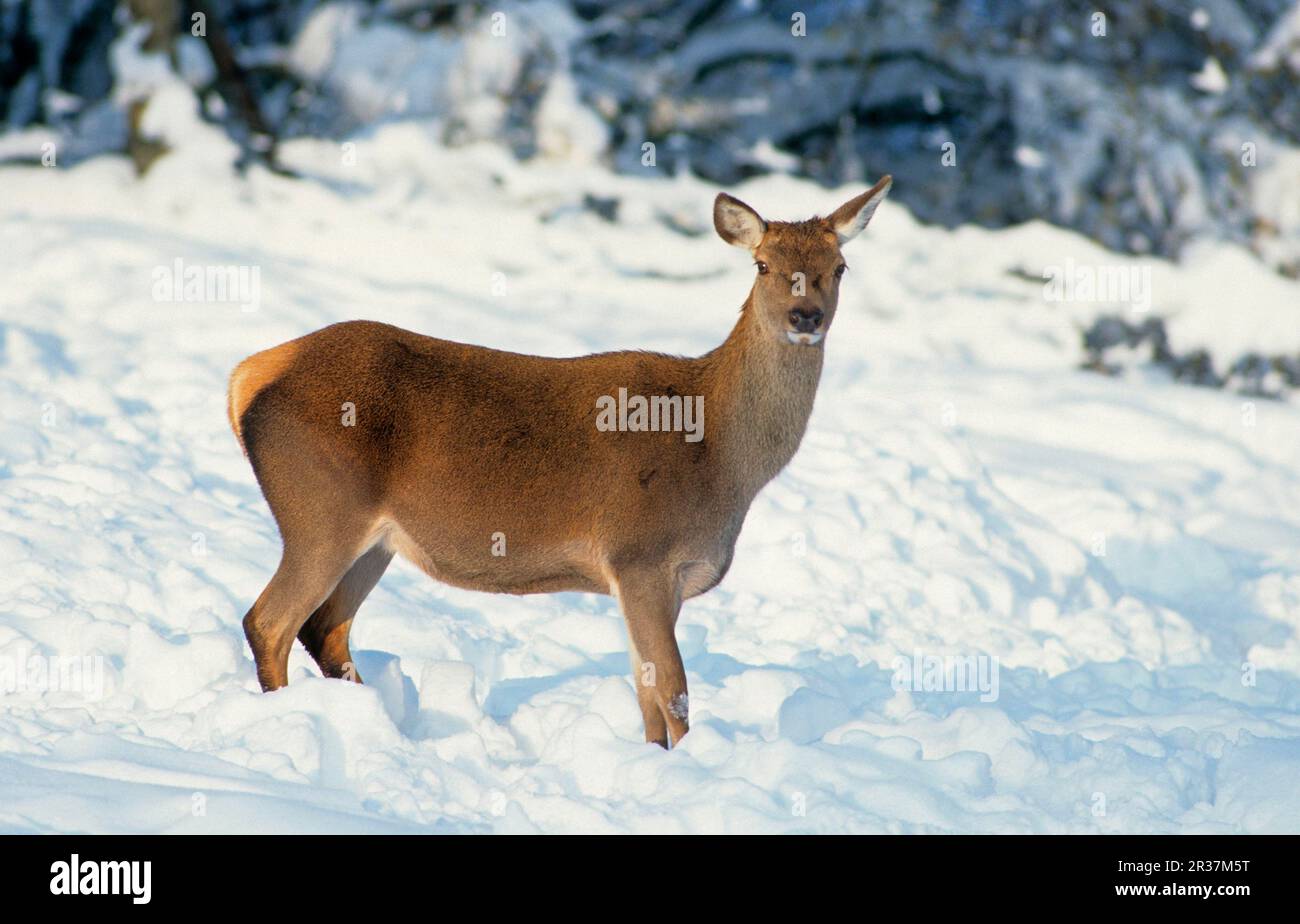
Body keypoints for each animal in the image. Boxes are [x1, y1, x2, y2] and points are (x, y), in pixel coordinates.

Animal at [227, 176, 892, 748]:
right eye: (763, 266)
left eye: (839, 267)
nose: (805, 317)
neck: (721, 459)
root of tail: (248, 375)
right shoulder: (639, 554)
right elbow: (674, 693)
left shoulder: (650, 577)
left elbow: (647, 698)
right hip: (322, 509)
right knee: (269, 621)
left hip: (377, 540)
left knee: (325, 629)